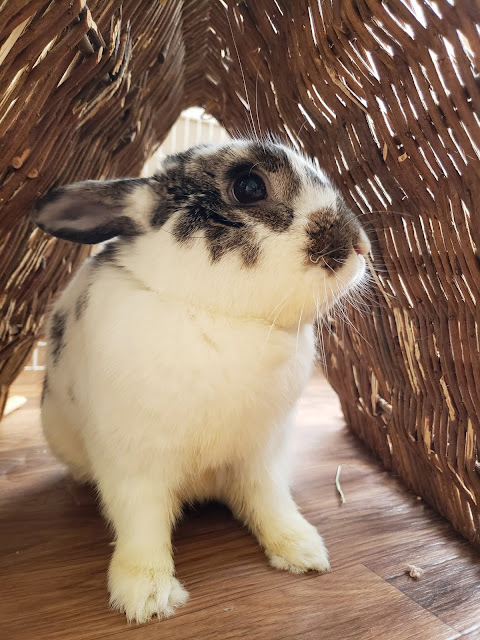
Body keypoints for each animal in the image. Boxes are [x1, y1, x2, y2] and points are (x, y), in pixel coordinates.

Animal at [32, 139, 371, 623]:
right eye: (248, 186)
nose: (361, 246)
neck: (217, 313)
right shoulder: (133, 465)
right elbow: (141, 526)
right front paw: (146, 597)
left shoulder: (261, 457)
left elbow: (270, 503)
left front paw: (304, 552)